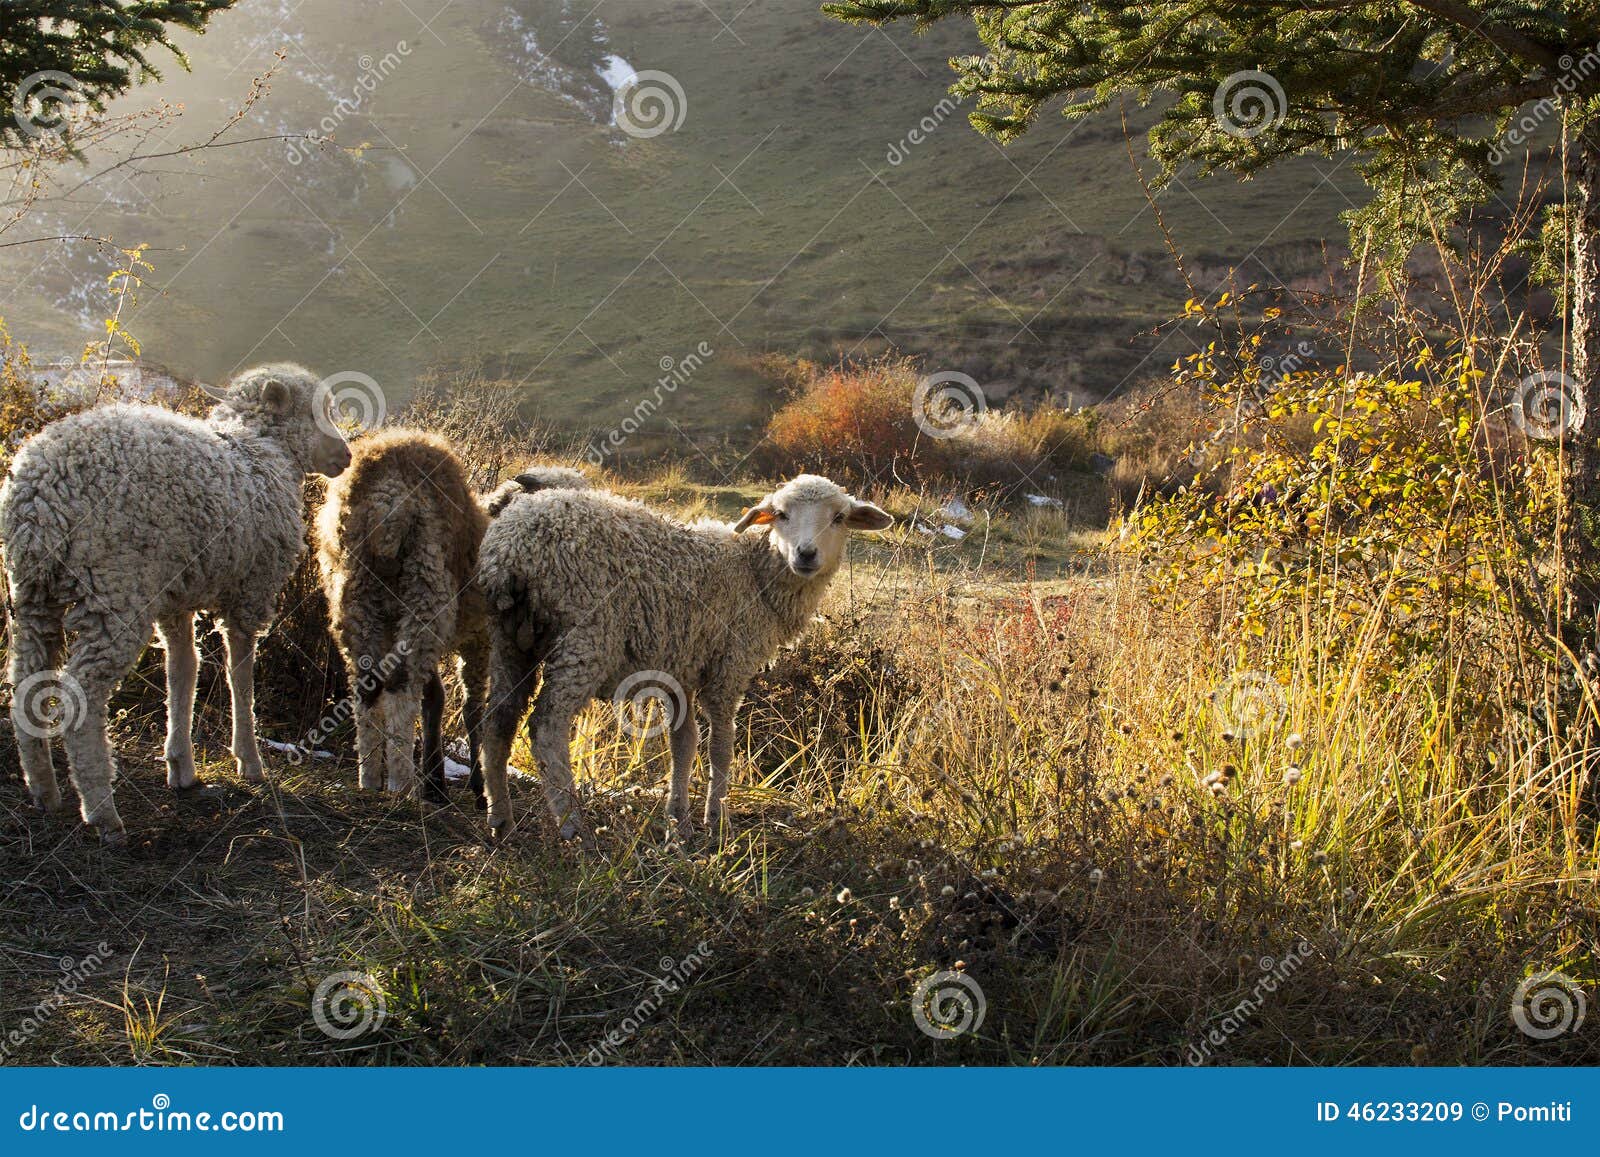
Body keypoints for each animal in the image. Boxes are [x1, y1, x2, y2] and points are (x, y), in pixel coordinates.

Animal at [0, 364, 352, 842]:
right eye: (321, 411)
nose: (347, 456)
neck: (260, 448)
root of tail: (40, 498)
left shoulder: (176, 596)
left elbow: (183, 669)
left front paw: (181, 765)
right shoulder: (250, 592)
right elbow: (240, 675)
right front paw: (249, 760)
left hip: (32, 592)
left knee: (24, 682)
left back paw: (43, 790)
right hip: (115, 589)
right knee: (81, 696)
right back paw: (103, 812)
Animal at [315, 443, 591, 806]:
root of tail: (385, 499)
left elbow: (434, 698)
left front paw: (435, 781)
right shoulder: (482, 640)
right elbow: (472, 709)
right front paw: (475, 784)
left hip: (358, 598)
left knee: (367, 686)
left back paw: (370, 779)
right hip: (425, 592)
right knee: (402, 687)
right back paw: (400, 785)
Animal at [476, 473, 893, 843]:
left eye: (838, 518)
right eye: (780, 514)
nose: (806, 554)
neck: (754, 576)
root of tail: (511, 548)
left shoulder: (681, 667)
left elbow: (684, 743)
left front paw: (679, 821)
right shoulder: (729, 666)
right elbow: (721, 744)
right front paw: (717, 820)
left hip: (507, 640)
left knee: (497, 721)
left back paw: (501, 822)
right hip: (586, 637)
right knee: (546, 726)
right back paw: (574, 827)